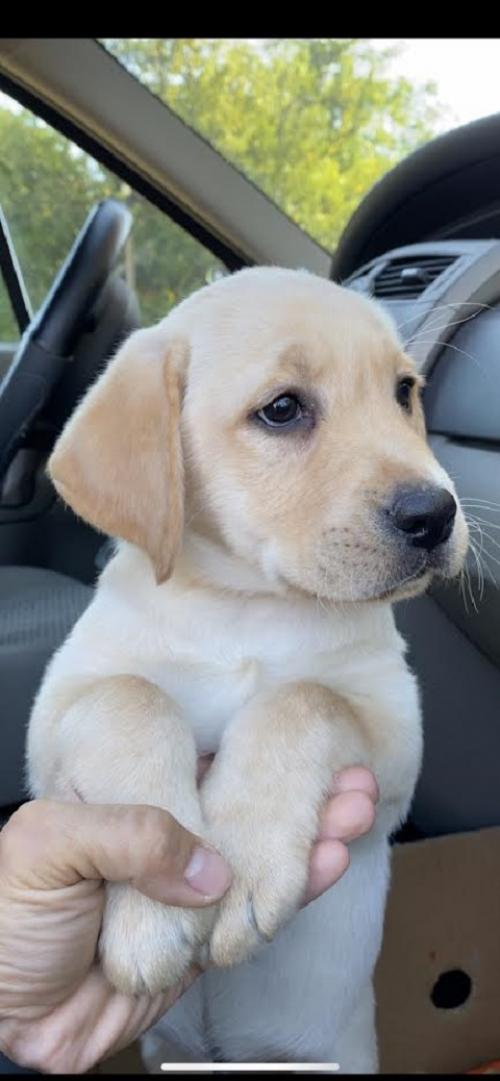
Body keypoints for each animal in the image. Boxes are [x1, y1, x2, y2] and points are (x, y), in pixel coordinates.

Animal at [27, 268, 470, 1072]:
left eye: (403, 391)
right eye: (283, 409)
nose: (436, 514)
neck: (244, 604)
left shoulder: (396, 737)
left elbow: (304, 695)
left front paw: (246, 863)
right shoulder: (53, 718)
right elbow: (130, 694)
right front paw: (154, 912)